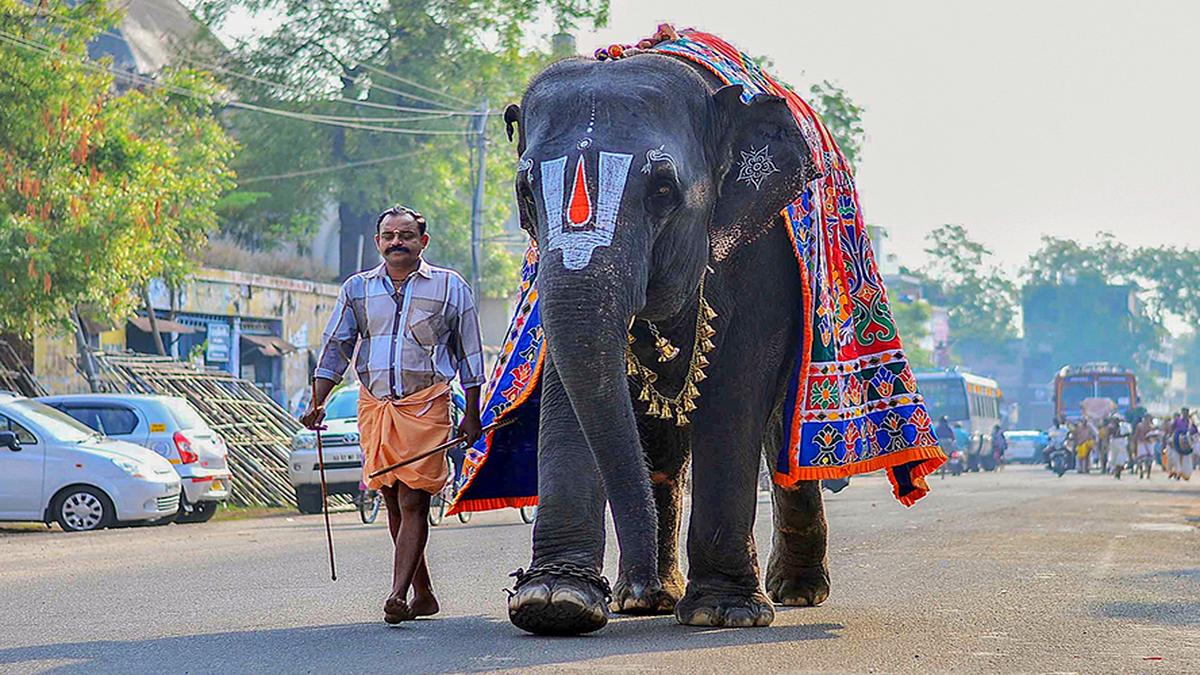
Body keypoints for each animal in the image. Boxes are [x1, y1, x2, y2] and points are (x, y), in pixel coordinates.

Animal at [502, 51, 831, 635]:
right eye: (525, 192)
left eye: (662, 191)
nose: (619, 586)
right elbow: (566, 376)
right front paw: (555, 601)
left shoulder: (763, 247)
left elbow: (738, 382)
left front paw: (723, 612)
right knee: (658, 444)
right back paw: (649, 600)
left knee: (780, 435)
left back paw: (794, 592)